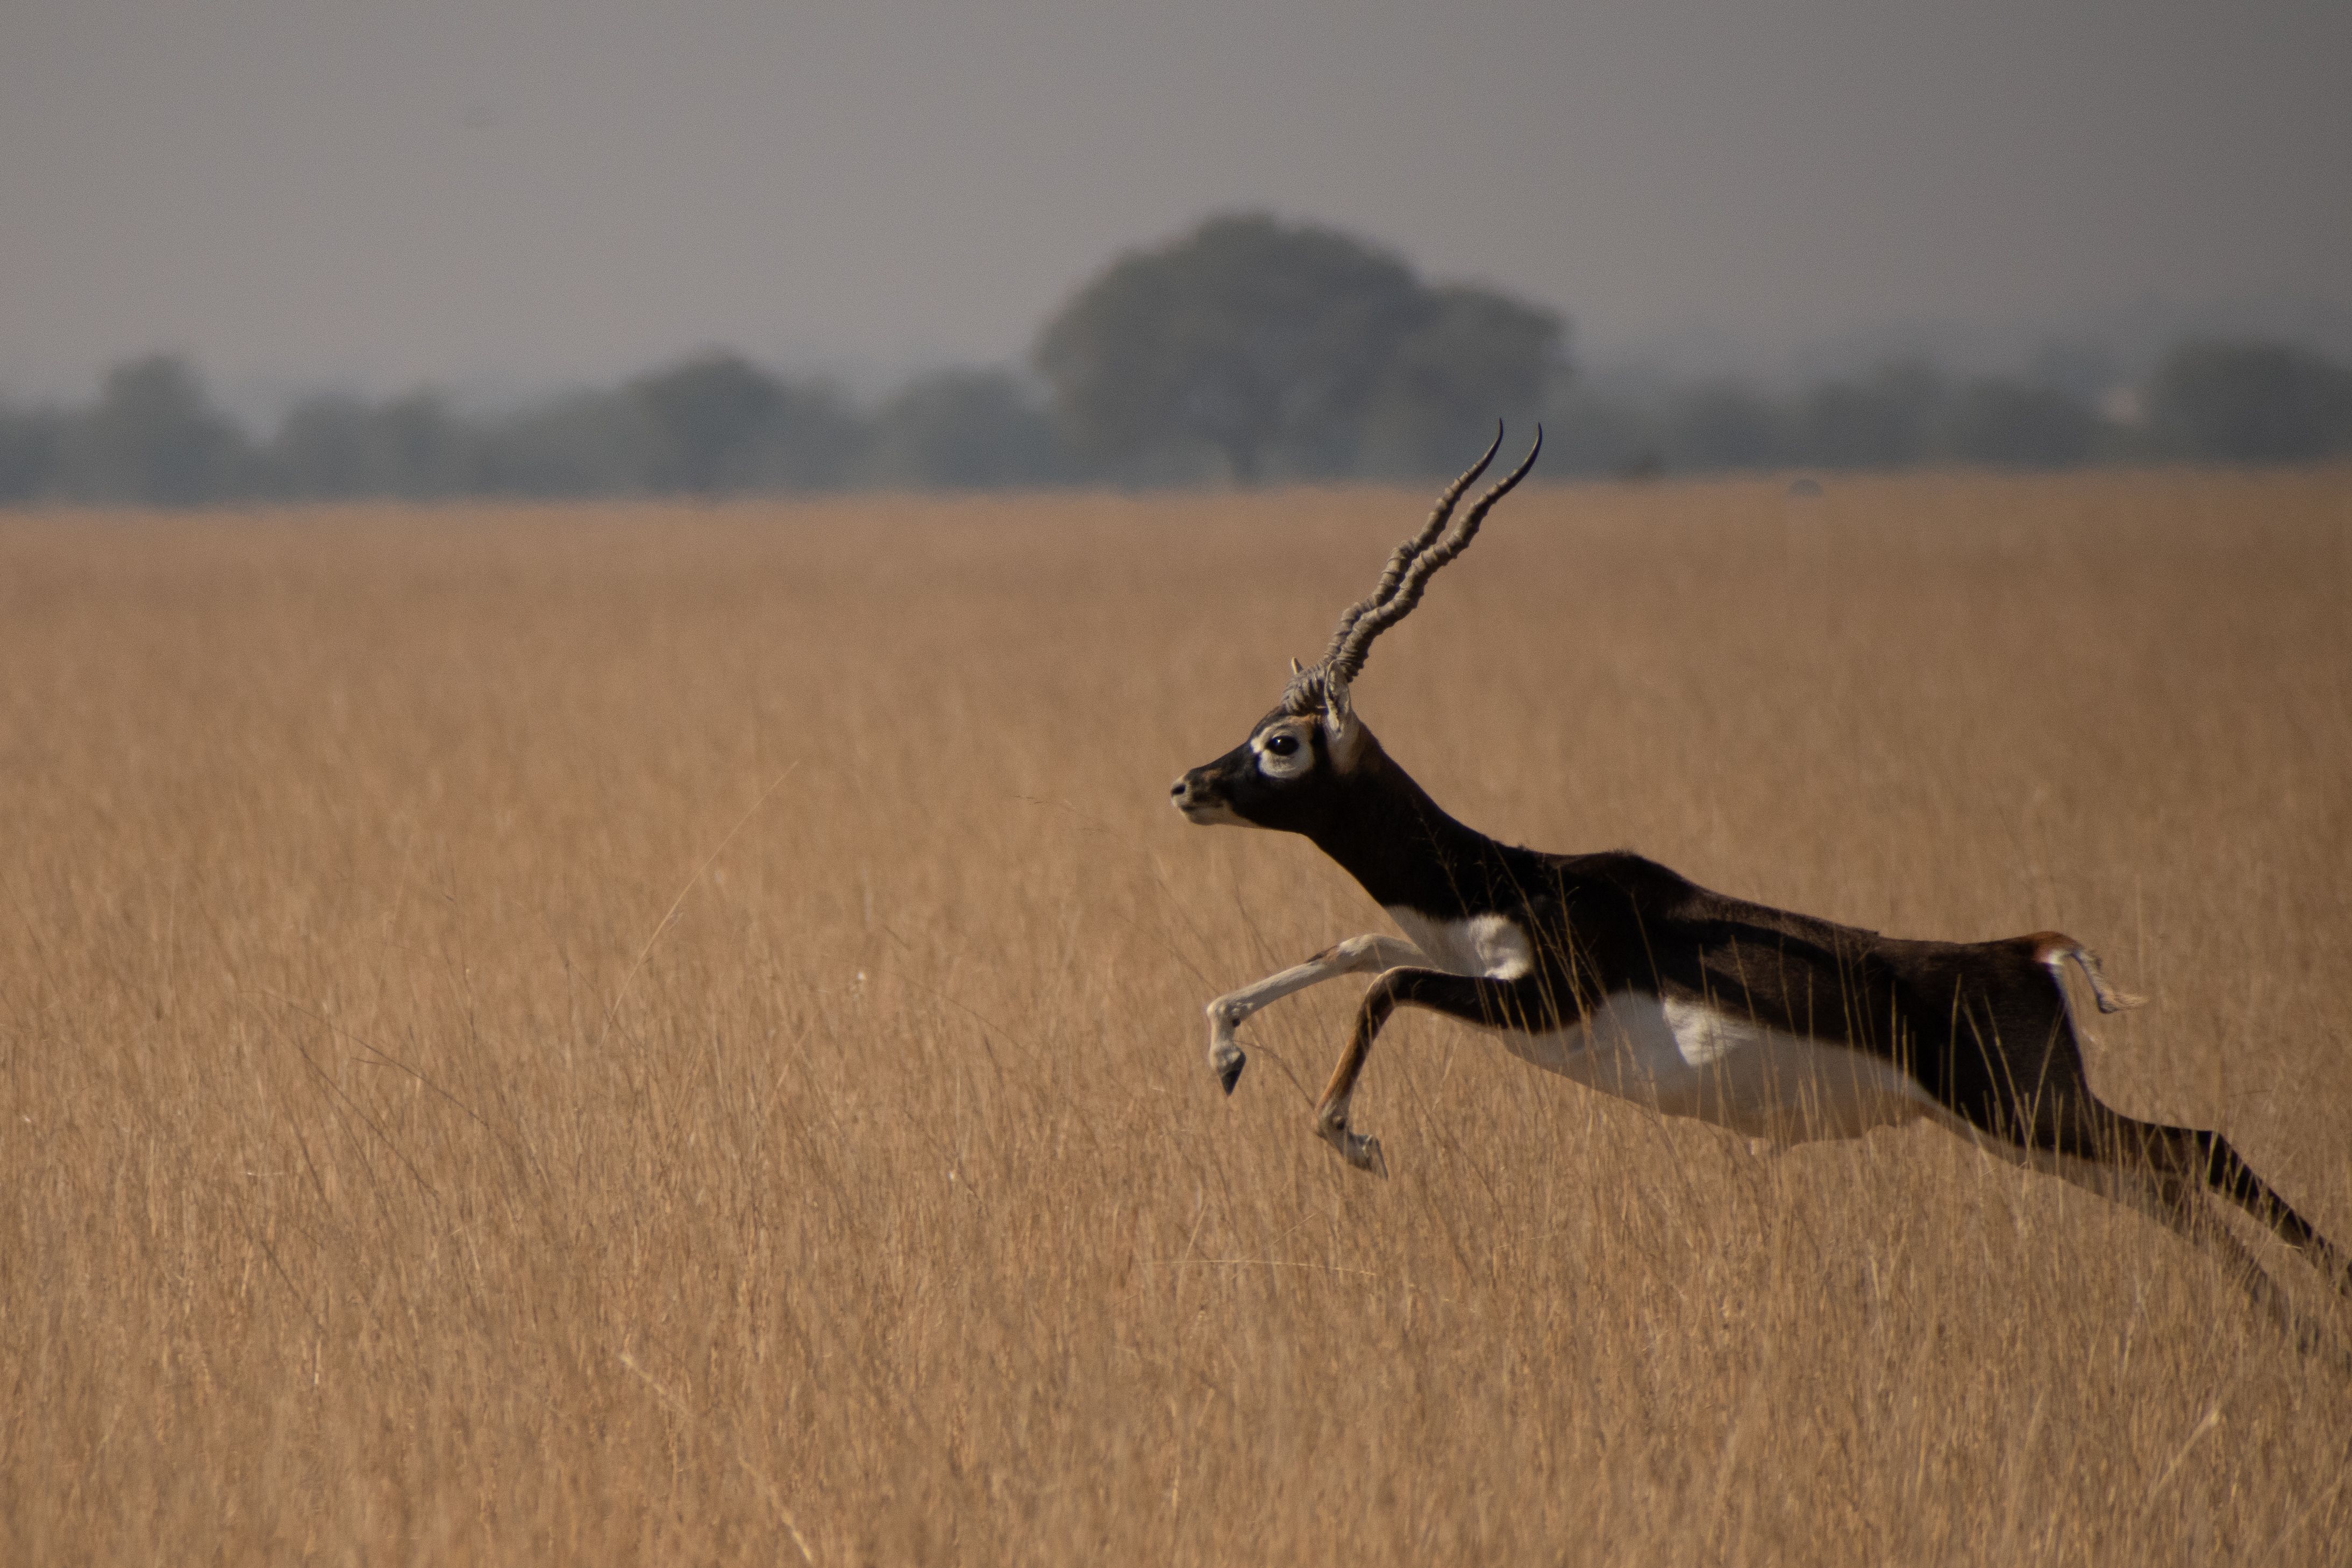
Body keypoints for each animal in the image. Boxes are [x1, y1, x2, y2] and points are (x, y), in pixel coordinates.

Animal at [1169, 427, 2347, 1332]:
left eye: (1279, 742)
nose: (1186, 784)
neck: (1508, 879)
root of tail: (2025, 952)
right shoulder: (1457, 950)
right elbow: (1355, 946)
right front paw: (1225, 1049)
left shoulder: (1536, 1000)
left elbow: (1384, 983)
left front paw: (1348, 1138)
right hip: (2023, 1128)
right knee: (2173, 1189)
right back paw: (2288, 1332)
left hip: (2022, 1111)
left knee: (2198, 1151)